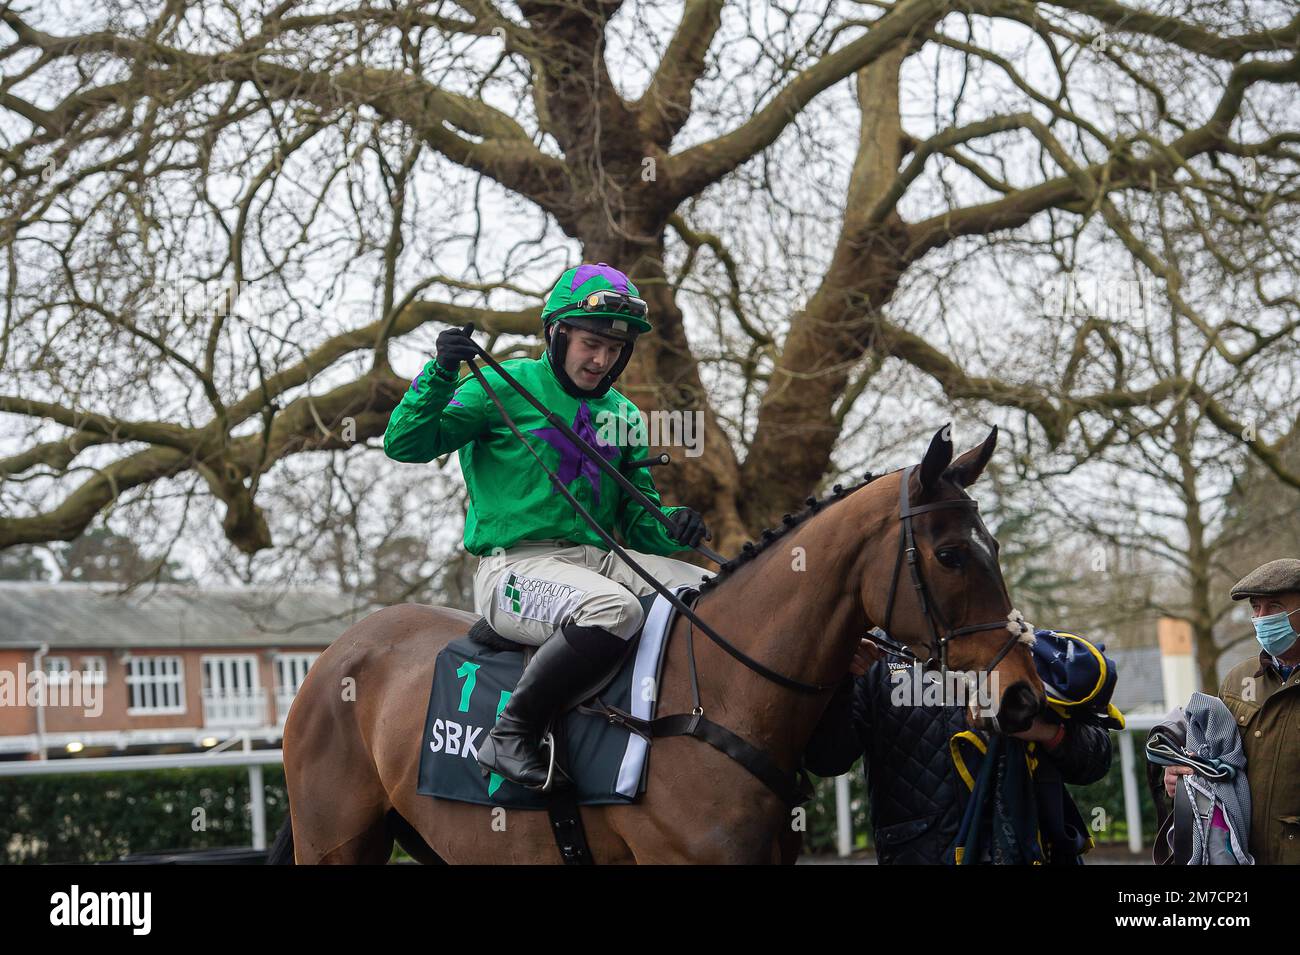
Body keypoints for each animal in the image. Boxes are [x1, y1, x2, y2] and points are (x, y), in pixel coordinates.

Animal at [269, 424, 1044, 864]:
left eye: (992, 547)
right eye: (950, 555)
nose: (1024, 694)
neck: (716, 699)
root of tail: (334, 659)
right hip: (334, 842)